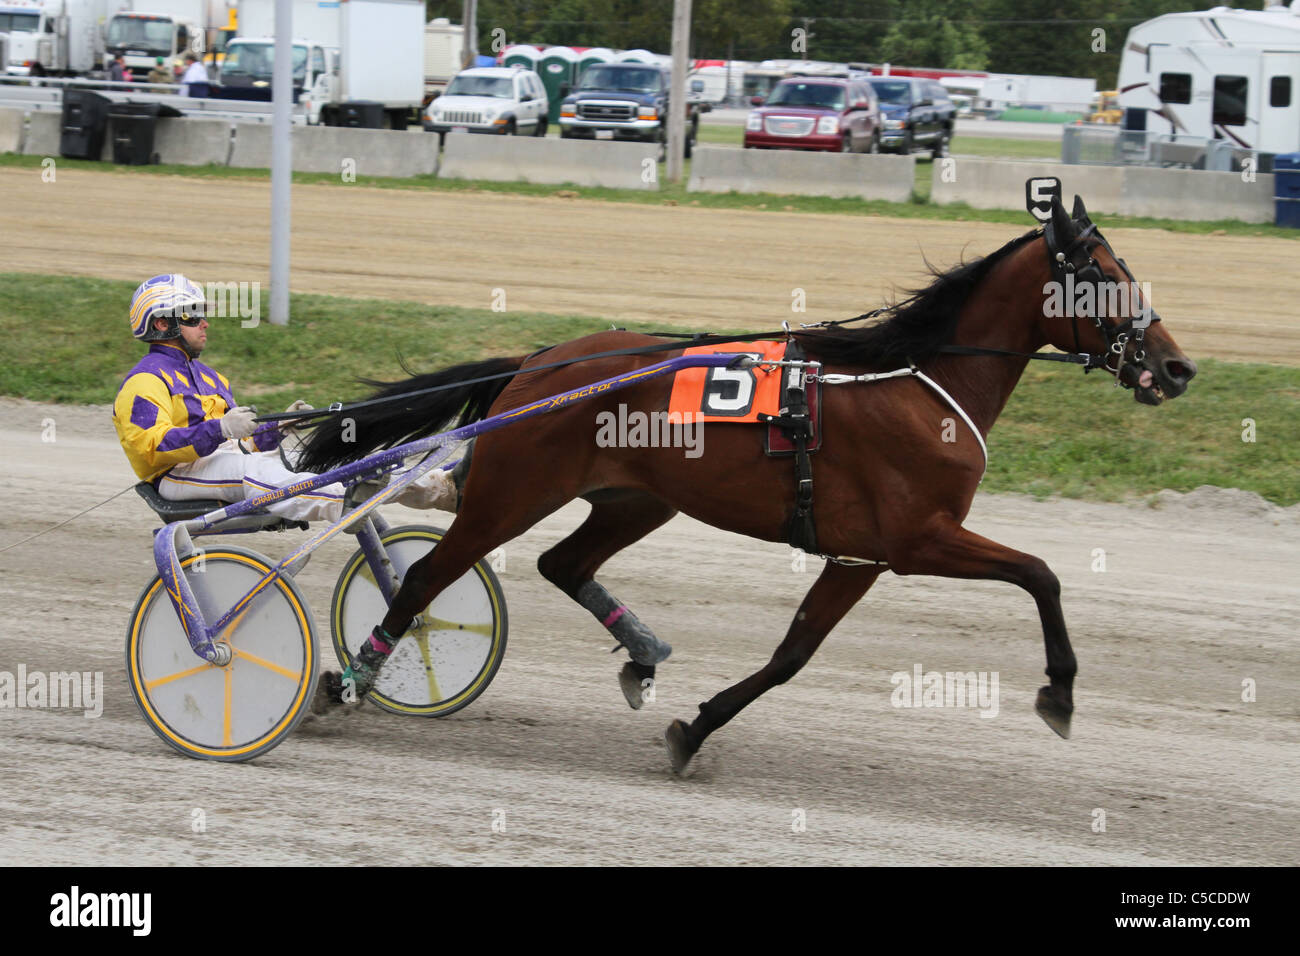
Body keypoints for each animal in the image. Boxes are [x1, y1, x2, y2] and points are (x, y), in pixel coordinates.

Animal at [298, 193, 1197, 774]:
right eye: (1103, 274)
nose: (1176, 368)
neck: (920, 385)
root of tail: (541, 361)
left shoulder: (858, 557)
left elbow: (793, 652)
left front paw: (693, 730)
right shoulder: (917, 539)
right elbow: (1040, 574)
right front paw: (1061, 692)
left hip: (639, 500)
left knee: (564, 563)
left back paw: (642, 652)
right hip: (513, 493)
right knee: (425, 576)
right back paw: (345, 684)